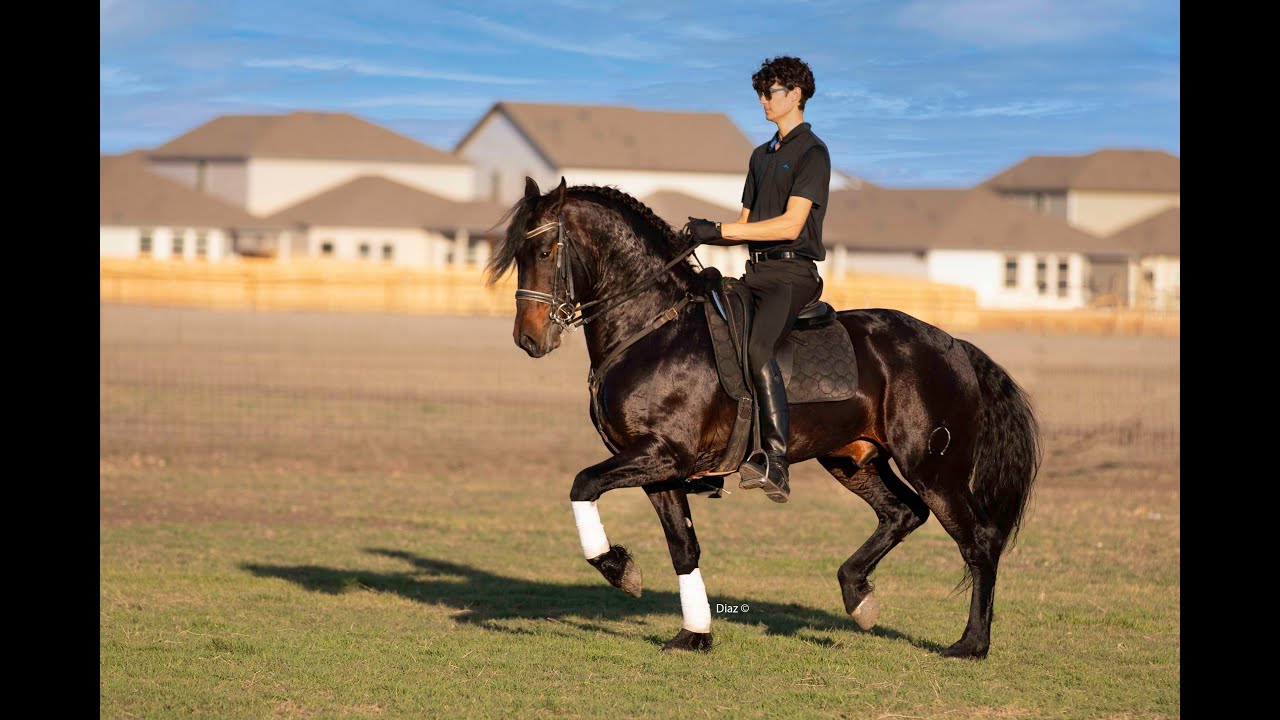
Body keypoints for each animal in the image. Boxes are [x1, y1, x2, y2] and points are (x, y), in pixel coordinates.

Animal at [485, 177, 1041, 659]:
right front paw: (694, 634)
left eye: (544, 251)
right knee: (903, 513)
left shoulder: (661, 455)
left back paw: (971, 644)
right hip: (852, 460)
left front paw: (618, 568)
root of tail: (953, 345)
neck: (651, 328)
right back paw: (858, 597)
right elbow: (683, 547)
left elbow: (582, 484)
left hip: (935, 468)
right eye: (517, 256)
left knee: (978, 541)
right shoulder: (658, 469)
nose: (528, 339)